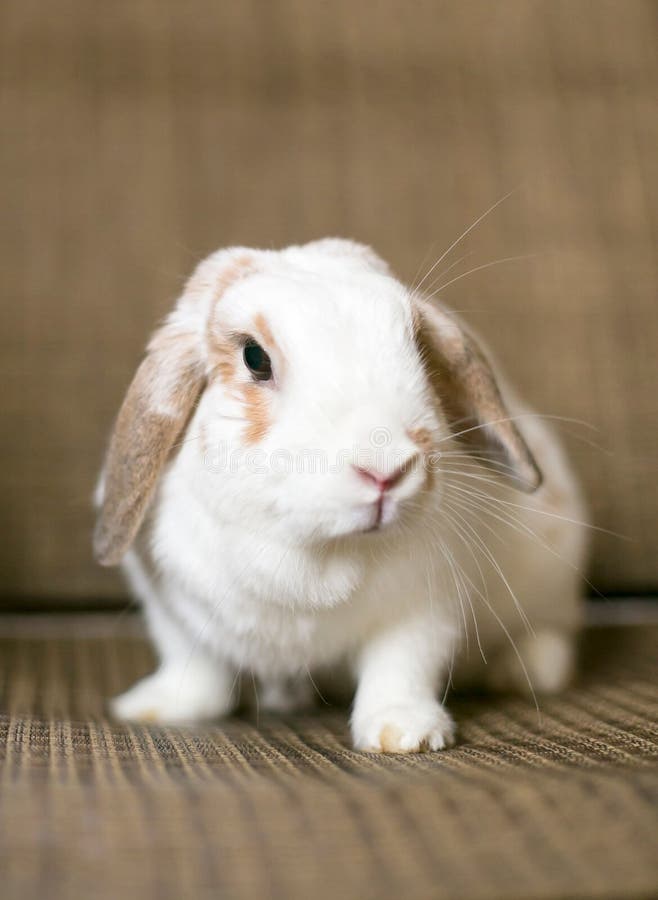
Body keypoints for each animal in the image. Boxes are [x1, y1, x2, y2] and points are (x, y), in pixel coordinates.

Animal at [94, 238, 587, 753]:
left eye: (419, 349)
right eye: (255, 358)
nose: (386, 469)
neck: (313, 551)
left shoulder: (426, 606)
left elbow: (402, 665)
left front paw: (405, 734)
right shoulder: (171, 606)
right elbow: (196, 670)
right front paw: (152, 709)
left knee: (552, 632)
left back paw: (528, 671)